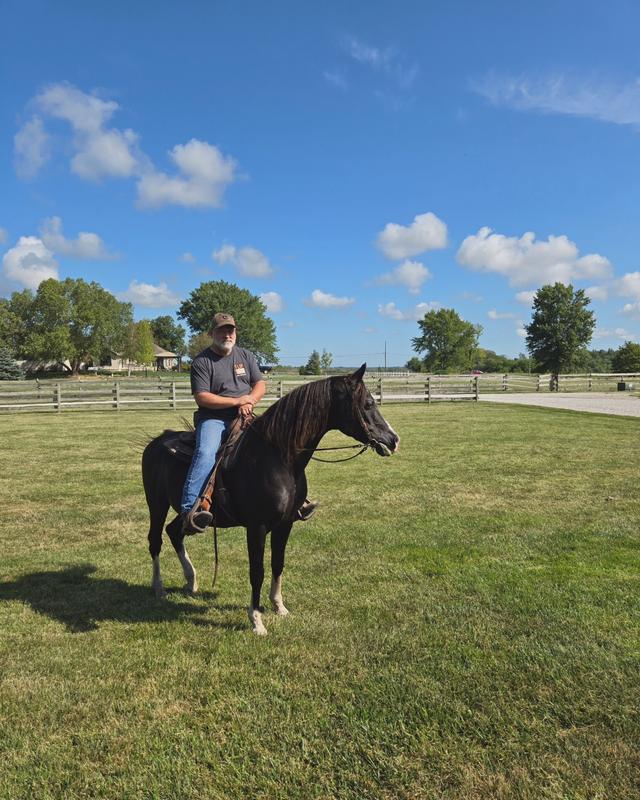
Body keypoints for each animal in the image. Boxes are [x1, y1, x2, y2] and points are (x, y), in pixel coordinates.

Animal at [141, 363, 399, 635]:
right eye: (368, 404)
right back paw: (158, 587)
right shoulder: (257, 527)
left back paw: (191, 581)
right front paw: (256, 620)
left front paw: (279, 606)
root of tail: (157, 441)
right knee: (155, 540)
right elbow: (257, 570)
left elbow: (278, 563)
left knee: (175, 531)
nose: (393, 440)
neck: (278, 458)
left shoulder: (285, 524)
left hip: (182, 512)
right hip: (156, 504)